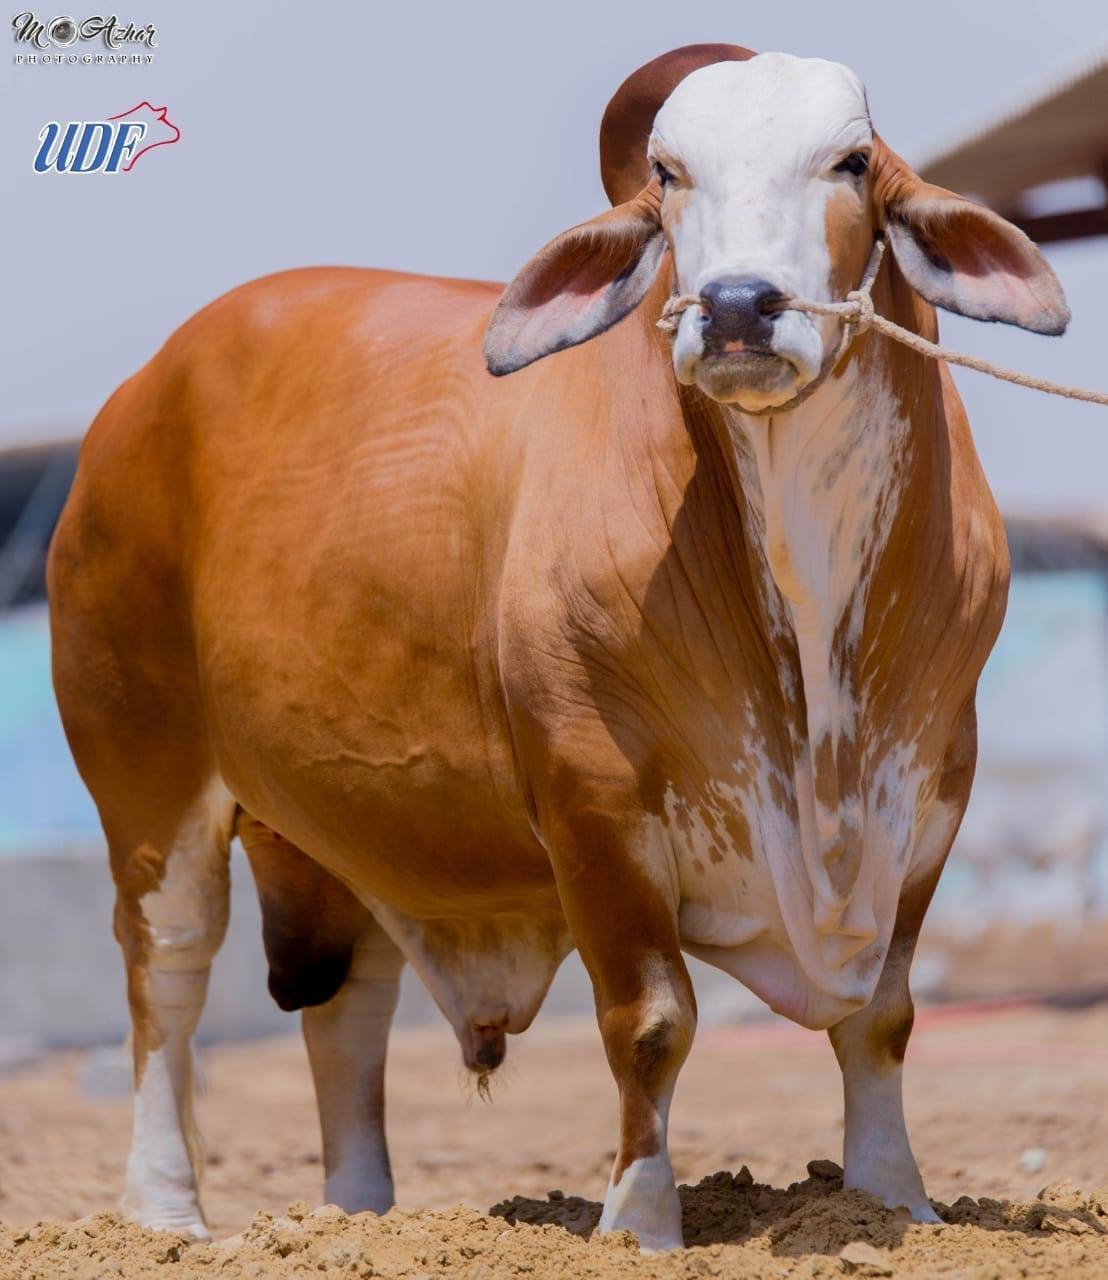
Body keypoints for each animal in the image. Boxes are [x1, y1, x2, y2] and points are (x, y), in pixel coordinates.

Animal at [48, 43, 1068, 1251]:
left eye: (851, 161)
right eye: (669, 174)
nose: (737, 306)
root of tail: (137, 398)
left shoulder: (929, 792)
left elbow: (883, 1020)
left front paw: (889, 1195)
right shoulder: (595, 806)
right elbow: (652, 1022)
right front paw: (639, 1219)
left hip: (354, 827)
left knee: (349, 1009)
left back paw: (359, 1215)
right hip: (147, 776)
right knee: (168, 977)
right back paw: (165, 1211)